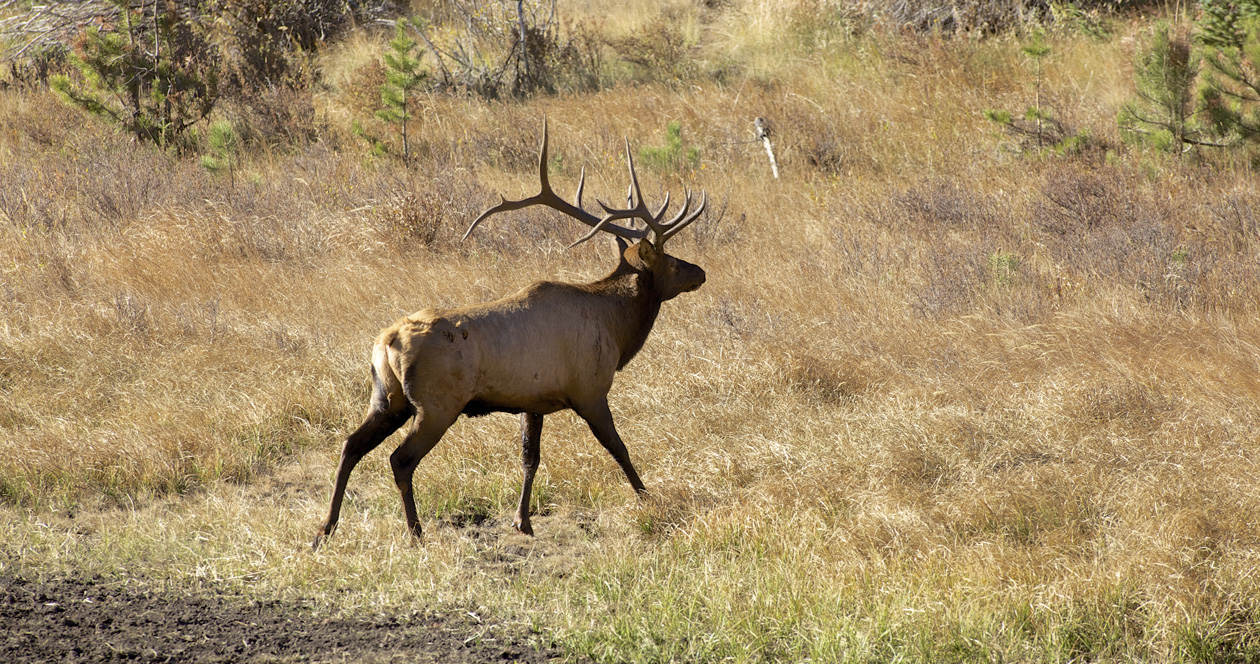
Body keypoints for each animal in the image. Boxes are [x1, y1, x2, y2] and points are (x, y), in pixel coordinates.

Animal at [312, 121, 707, 551]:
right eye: (671, 260)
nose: (700, 272)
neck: (616, 328)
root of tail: (386, 343)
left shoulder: (533, 401)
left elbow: (529, 458)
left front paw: (523, 521)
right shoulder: (589, 390)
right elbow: (618, 448)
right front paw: (648, 499)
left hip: (387, 398)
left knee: (350, 444)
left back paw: (325, 529)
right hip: (436, 404)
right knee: (400, 459)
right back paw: (415, 533)